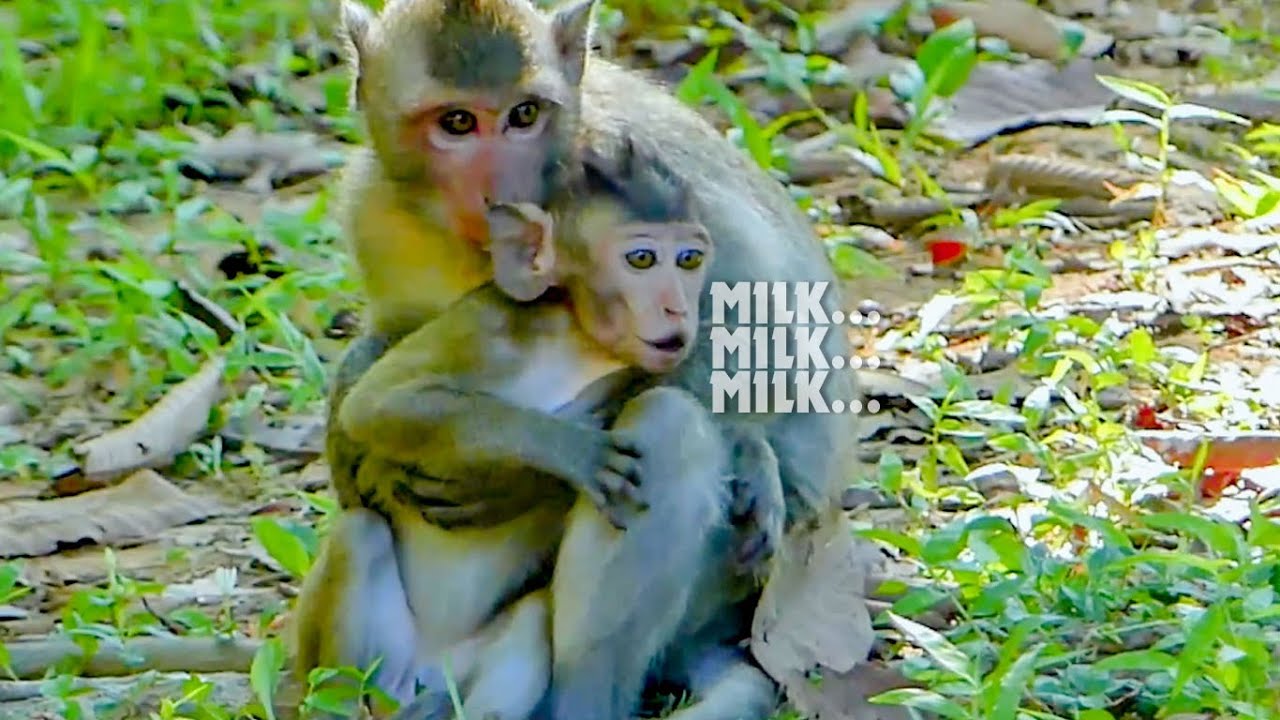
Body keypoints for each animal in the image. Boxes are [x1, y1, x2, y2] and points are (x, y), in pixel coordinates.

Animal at [316, 0, 858, 717]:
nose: (499, 188)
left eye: (524, 114)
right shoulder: (375, 209)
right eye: (457, 122)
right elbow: (392, 349)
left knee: (672, 426)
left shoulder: (670, 188)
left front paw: (510, 482)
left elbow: (758, 344)